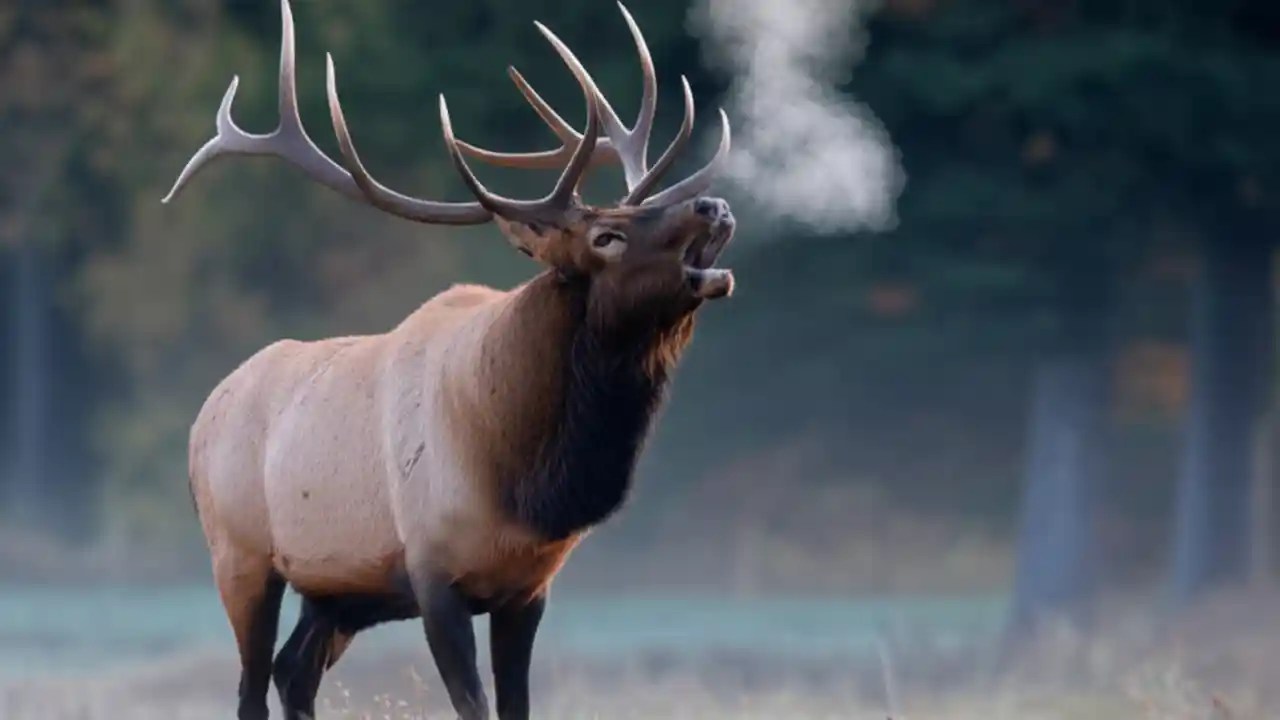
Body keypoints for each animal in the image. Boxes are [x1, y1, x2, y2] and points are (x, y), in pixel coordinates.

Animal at [163, 2, 735, 719]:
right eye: (607, 236)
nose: (713, 204)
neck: (523, 481)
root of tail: (202, 416)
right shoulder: (433, 573)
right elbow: (474, 705)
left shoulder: (528, 586)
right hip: (239, 556)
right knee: (251, 687)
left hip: (337, 592)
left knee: (293, 671)